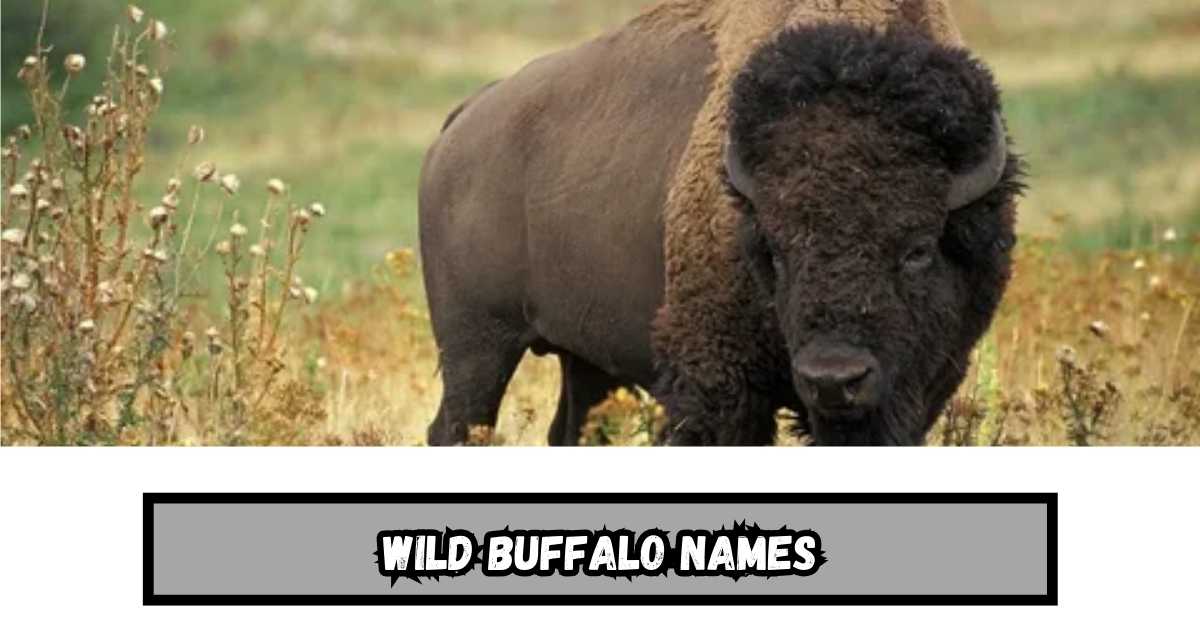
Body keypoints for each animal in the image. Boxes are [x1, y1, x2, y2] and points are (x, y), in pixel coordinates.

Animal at [419, 0, 1023, 446]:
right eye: (774, 249)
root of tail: (463, 122)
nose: (833, 379)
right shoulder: (717, 384)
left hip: (584, 357)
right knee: (457, 426)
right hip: (477, 344)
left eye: (919, 248)